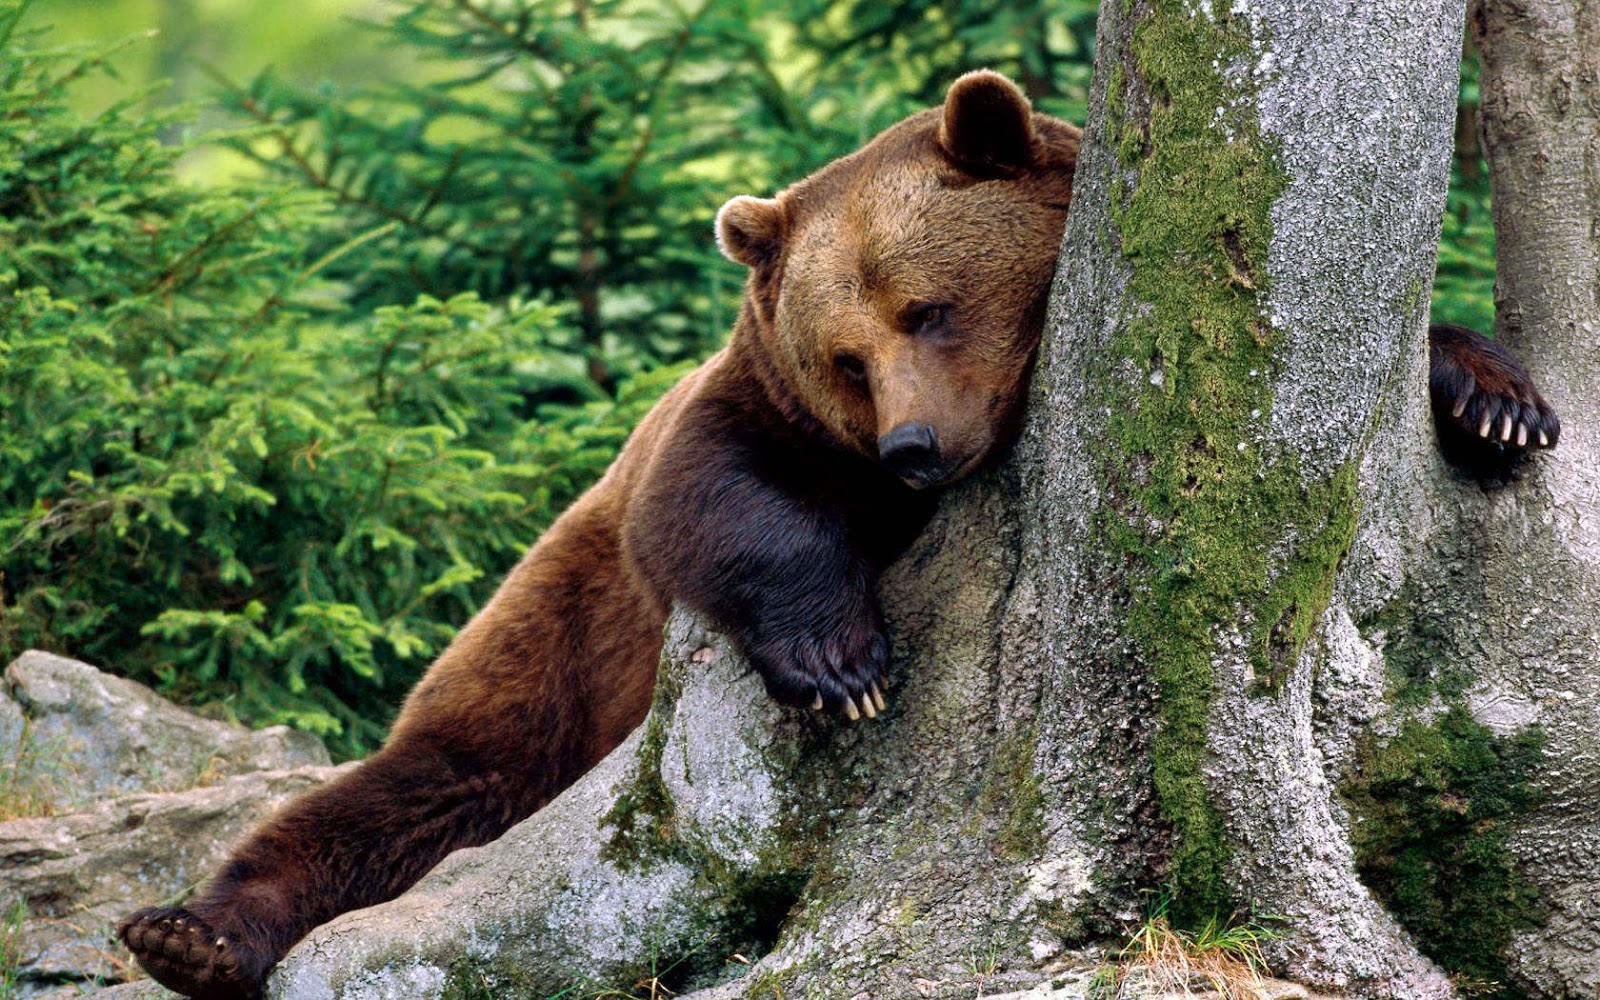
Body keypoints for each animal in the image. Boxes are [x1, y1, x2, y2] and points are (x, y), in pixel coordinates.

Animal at [117, 71, 1556, 1000]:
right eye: (846, 355)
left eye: (929, 308)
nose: (915, 447)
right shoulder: (747, 418)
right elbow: (715, 495)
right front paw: (840, 663)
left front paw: (1496, 402)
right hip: (549, 655)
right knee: (410, 794)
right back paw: (193, 933)